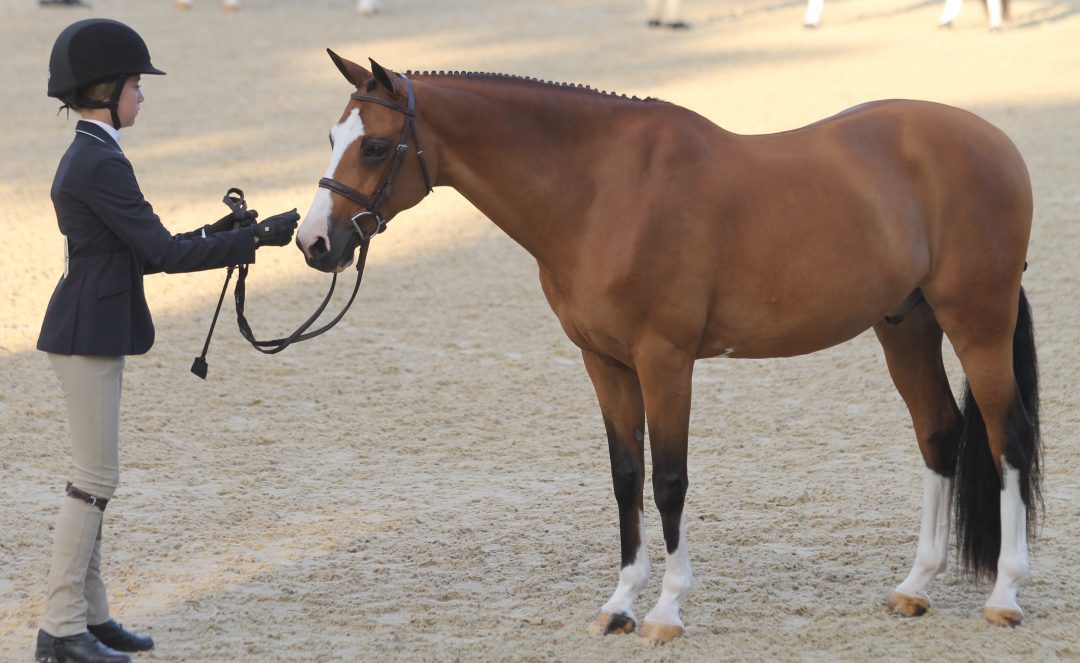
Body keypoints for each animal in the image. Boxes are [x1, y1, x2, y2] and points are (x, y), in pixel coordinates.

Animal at [295, 51, 1041, 642]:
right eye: (333, 135)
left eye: (375, 146)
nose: (313, 243)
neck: (604, 190)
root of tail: (995, 141)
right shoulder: (605, 361)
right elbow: (626, 475)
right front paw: (621, 603)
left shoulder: (666, 358)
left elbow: (670, 480)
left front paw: (666, 610)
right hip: (905, 325)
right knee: (940, 433)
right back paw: (915, 586)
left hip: (977, 321)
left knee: (1006, 437)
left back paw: (1005, 594)